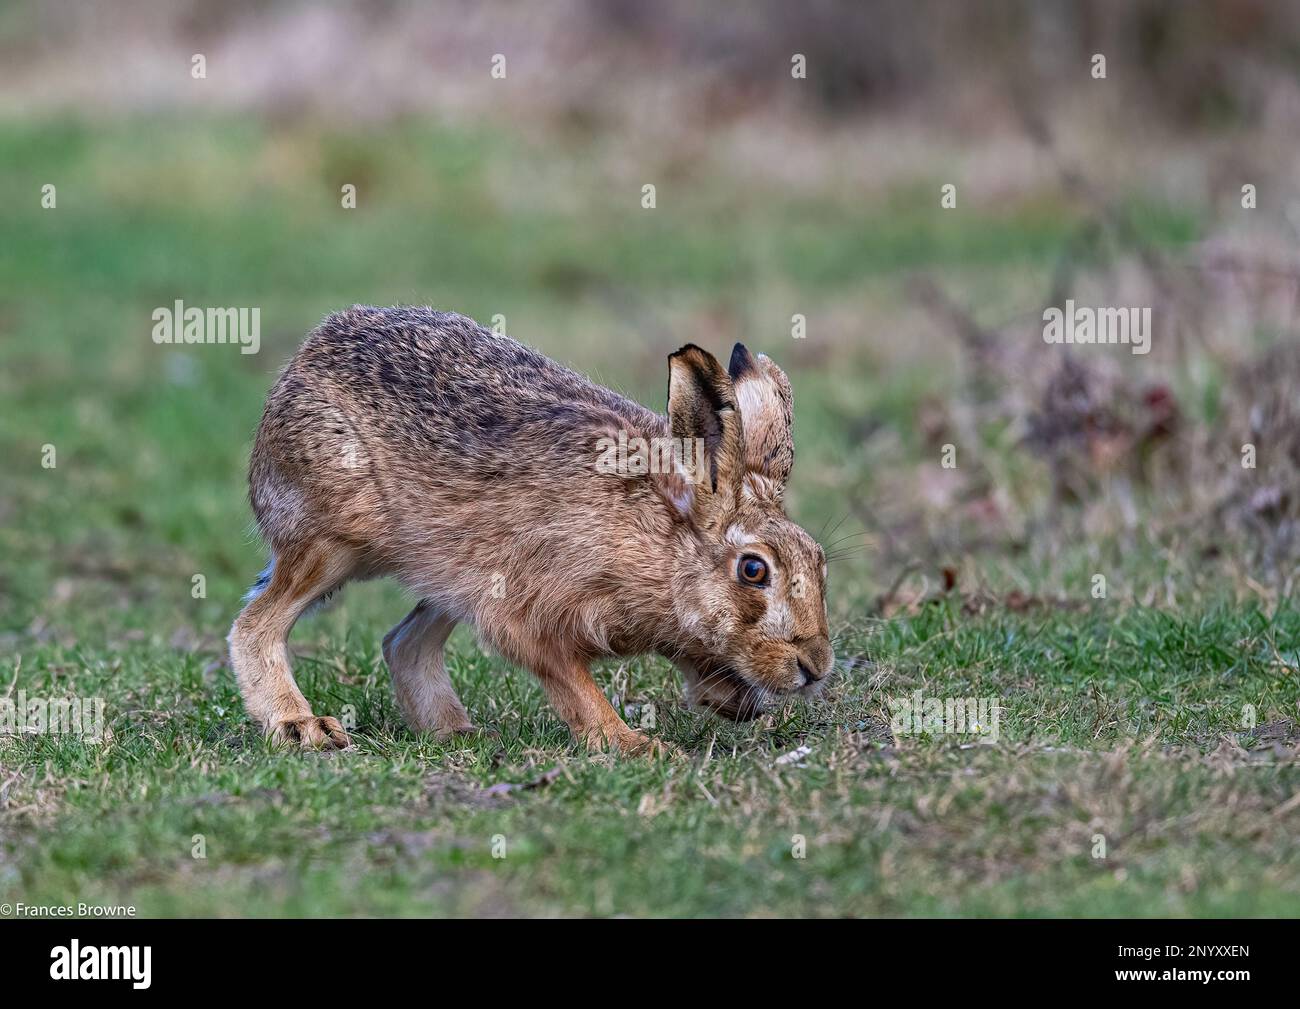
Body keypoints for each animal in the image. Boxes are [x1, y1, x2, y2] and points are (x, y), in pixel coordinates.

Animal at [228, 306, 833, 754]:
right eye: (753, 570)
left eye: (818, 560)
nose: (815, 666)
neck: (658, 536)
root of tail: (299, 367)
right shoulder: (530, 614)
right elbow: (573, 684)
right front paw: (633, 745)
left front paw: (732, 702)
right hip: (333, 541)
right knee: (255, 626)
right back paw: (302, 727)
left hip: (452, 569)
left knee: (404, 643)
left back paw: (459, 732)